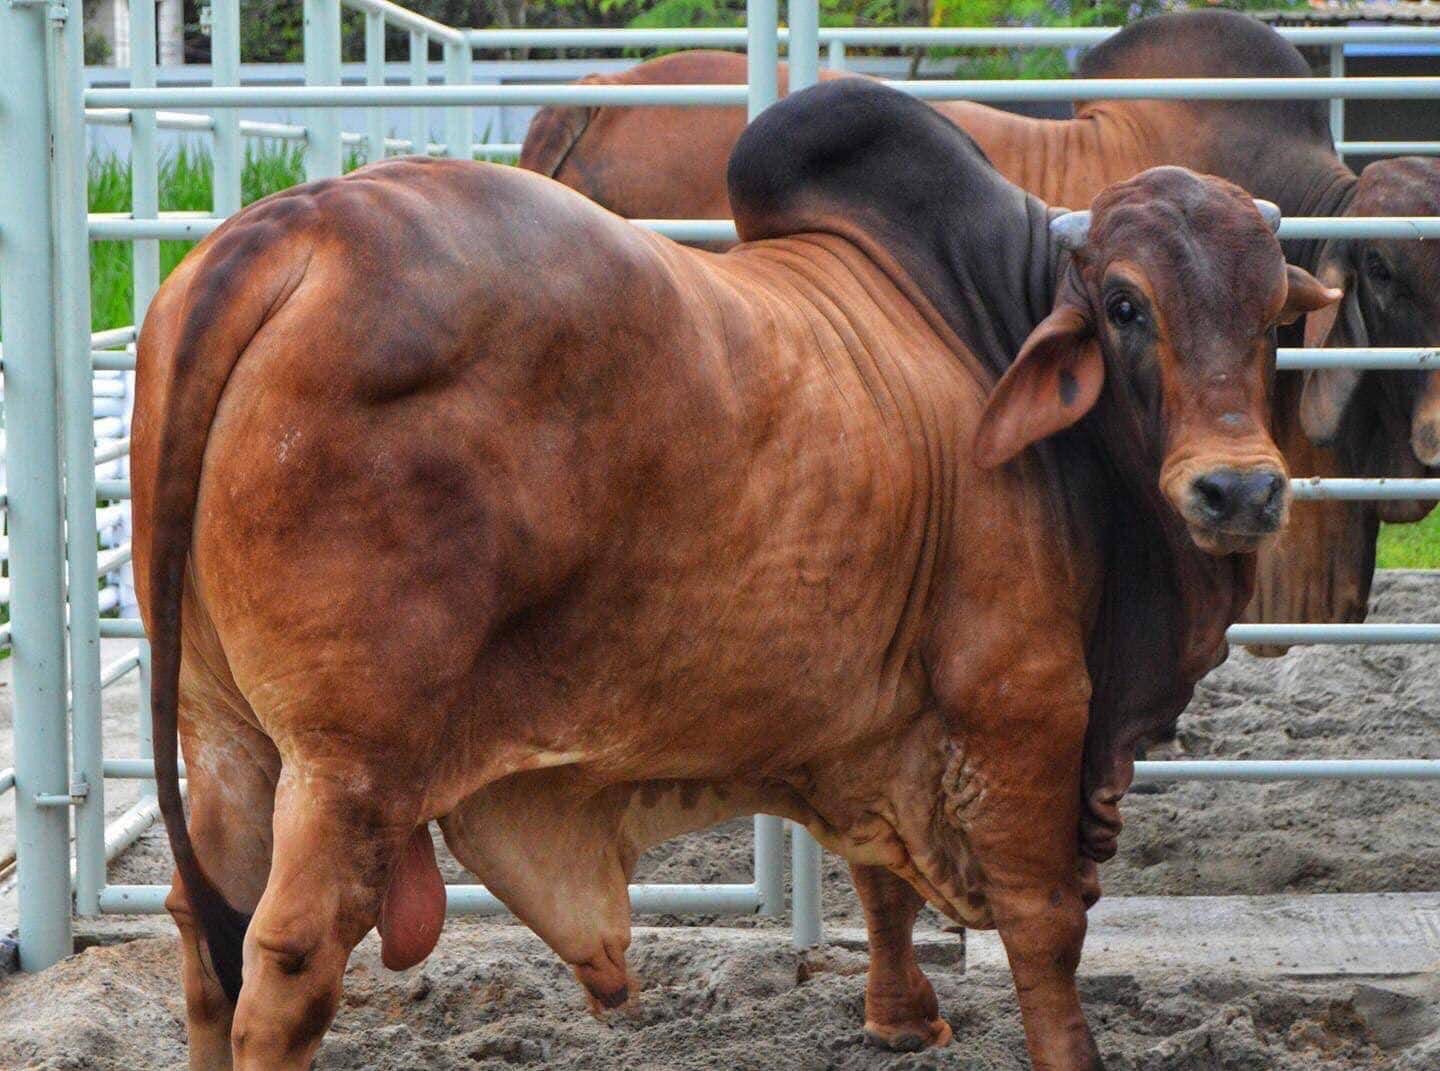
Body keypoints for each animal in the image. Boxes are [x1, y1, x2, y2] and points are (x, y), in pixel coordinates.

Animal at [134, 78, 1335, 1070]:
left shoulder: (883, 711)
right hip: (348, 766)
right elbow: (1047, 925)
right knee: (286, 966)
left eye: (1273, 313)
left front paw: (901, 1019)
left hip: (224, 731)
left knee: (205, 933)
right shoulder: (1023, 698)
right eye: (1126, 305)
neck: (986, 321)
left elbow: (881, 879)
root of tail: (291, 230)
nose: (1237, 492)